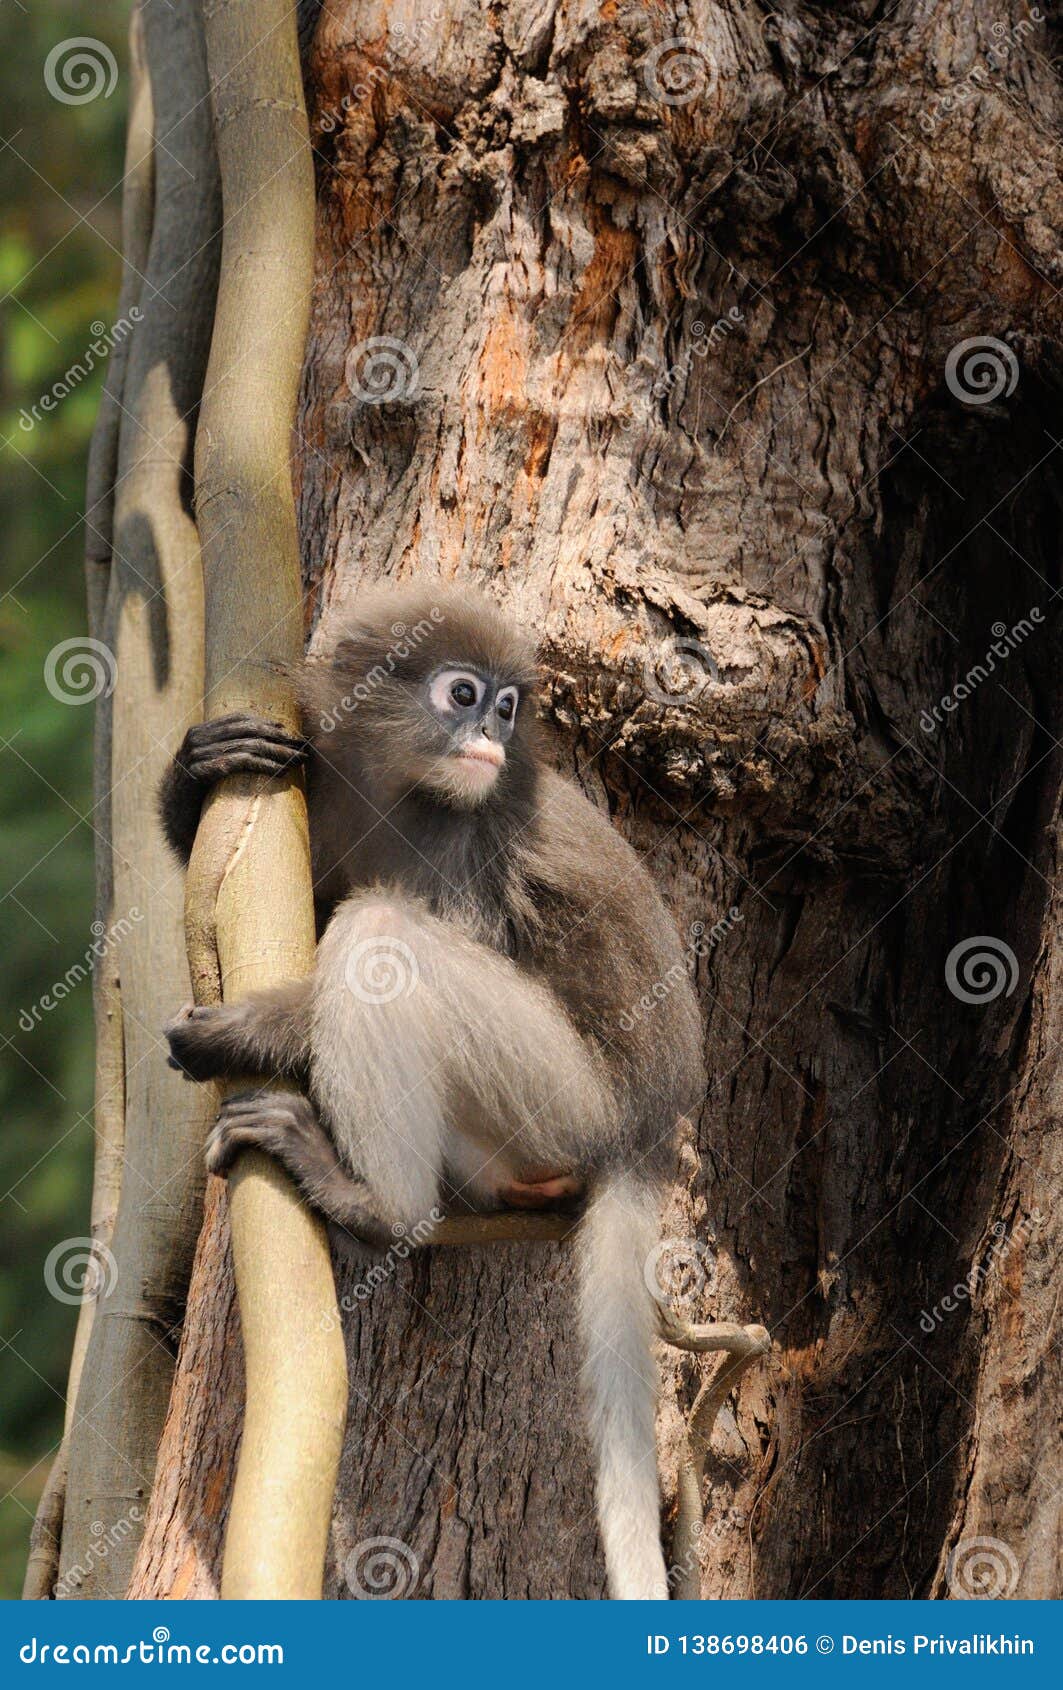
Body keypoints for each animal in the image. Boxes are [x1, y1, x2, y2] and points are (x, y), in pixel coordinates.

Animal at [159, 584, 705, 1600]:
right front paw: (196, 768)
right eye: (464, 694)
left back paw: (376, 1206)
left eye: (507, 705)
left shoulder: (469, 843)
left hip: (564, 1099)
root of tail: (649, 1132)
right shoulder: (327, 792)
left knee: (381, 936)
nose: (492, 731)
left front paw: (254, 1028)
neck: (405, 792)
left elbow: (381, 943)